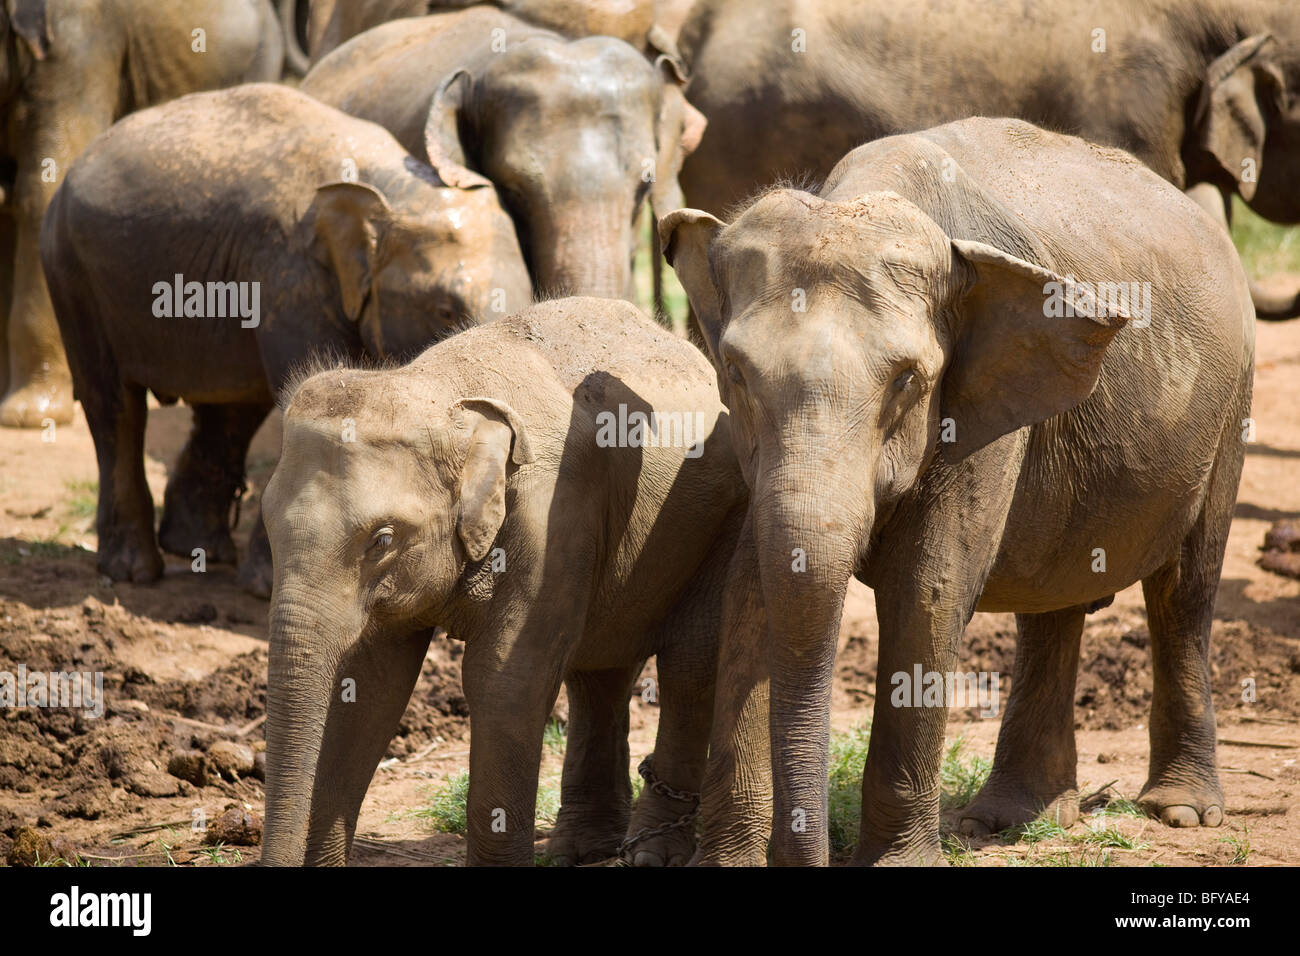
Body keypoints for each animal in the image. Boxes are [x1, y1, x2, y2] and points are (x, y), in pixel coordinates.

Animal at [41, 83, 530, 594]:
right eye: (444, 310)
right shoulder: (290, 275)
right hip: (71, 273)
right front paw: (263, 587)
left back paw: (197, 549)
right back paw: (134, 571)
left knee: (231, 408)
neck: (392, 185)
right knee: (115, 405)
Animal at [258, 296, 749, 866]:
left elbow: (505, 679)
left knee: (688, 666)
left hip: (725, 517)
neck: (444, 394)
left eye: (381, 539)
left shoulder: (554, 514)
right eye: (267, 525)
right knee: (597, 673)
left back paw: (652, 852)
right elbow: (371, 681)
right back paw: (579, 849)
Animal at [661, 117, 1255, 865]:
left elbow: (928, 590)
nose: (808, 850)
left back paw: (1180, 811)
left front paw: (898, 862)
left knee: (1185, 590)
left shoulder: (983, 407)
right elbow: (753, 586)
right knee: (1053, 603)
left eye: (908, 380)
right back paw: (1009, 820)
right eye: (735, 372)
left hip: (1231, 408)